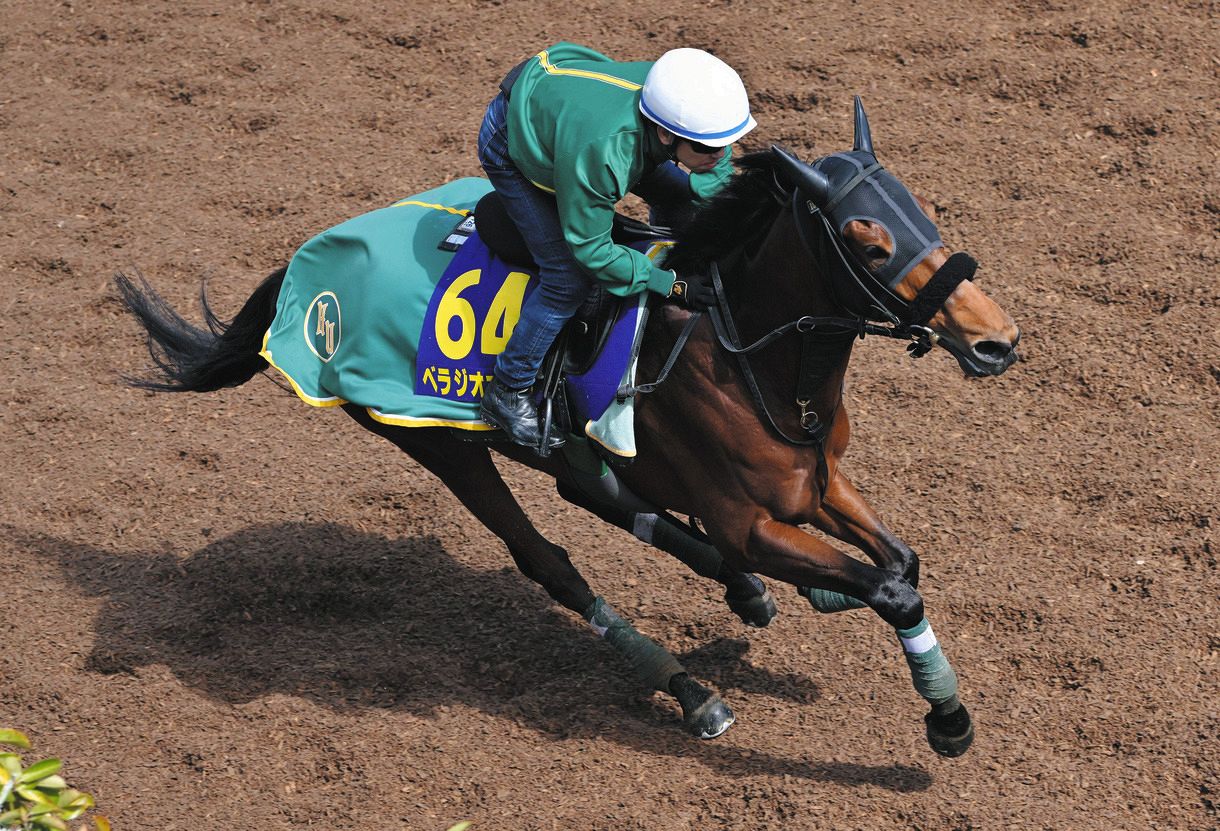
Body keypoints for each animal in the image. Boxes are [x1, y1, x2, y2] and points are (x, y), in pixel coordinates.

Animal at [115, 97, 1019, 757]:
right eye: (868, 242)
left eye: (922, 212)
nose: (996, 340)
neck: (746, 357)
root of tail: (308, 264)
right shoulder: (750, 518)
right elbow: (893, 587)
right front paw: (946, 718)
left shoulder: (817, 482)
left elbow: (899, 558)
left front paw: (818, 589)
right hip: (436, 441)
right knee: (548, 556)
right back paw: (690, 687)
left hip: (553, 446)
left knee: (597, 494)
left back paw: (744, 587)